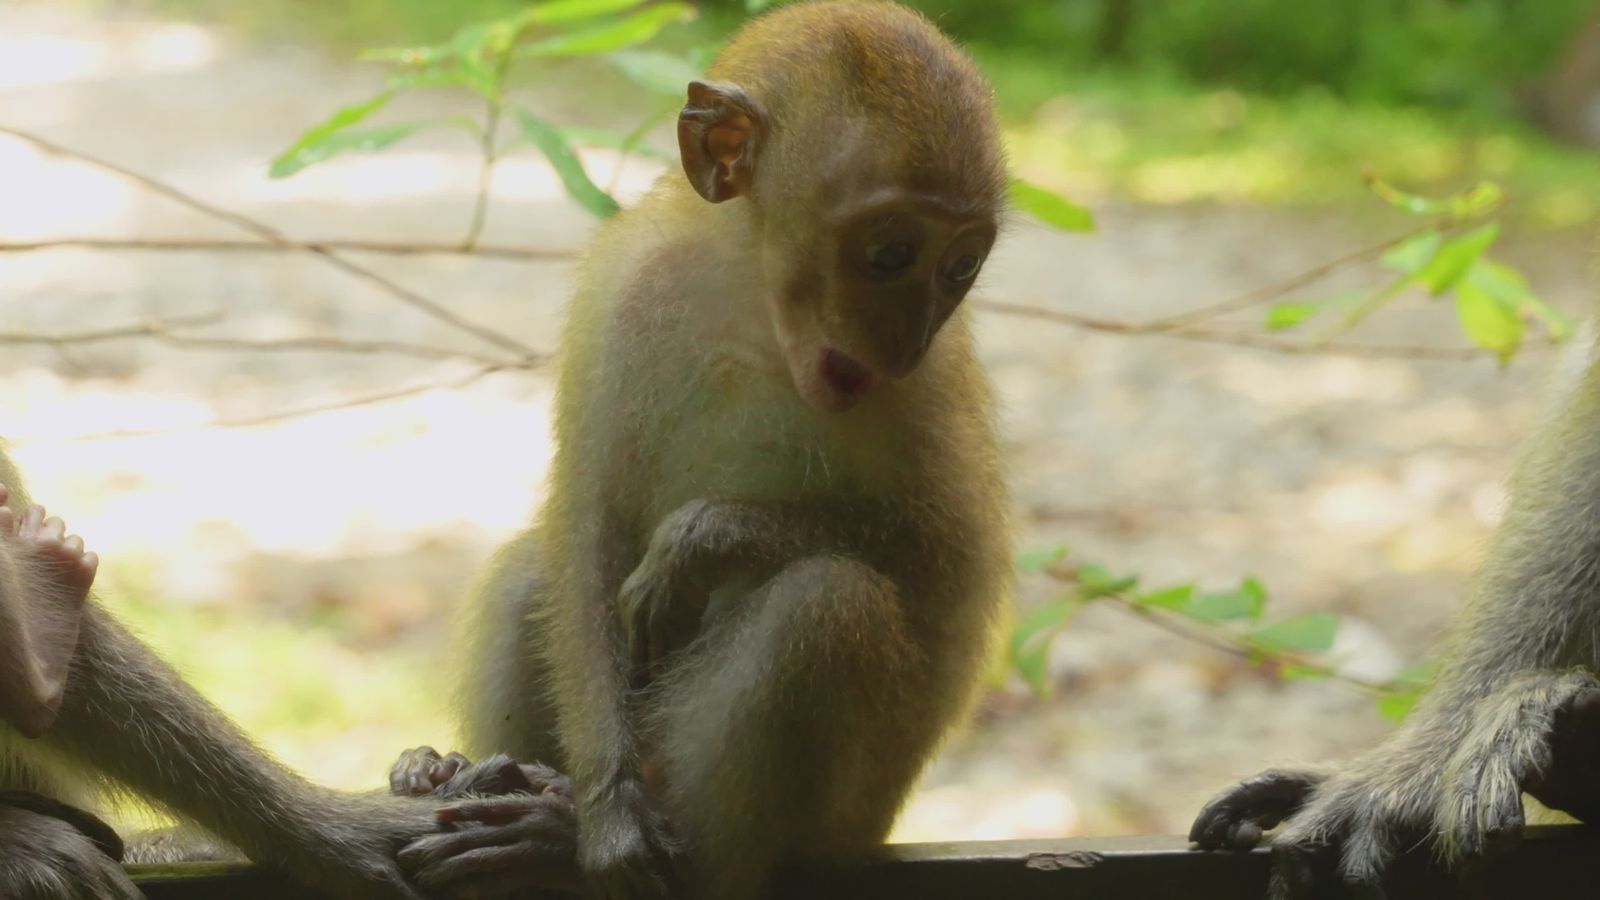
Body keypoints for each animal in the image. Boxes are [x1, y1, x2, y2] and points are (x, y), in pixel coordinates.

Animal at [384, 2, 1013, 898]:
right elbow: (590, 530)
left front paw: (704, 539)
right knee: (534, 571)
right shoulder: (619, 291)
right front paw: (611, 812)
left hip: (847, 816)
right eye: (890, 253)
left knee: (824, 604)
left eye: (960, 265)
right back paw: (466, 777)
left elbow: (948, 563)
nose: (906, 336)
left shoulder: (929, 385)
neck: (751, 303)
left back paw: (592, 845)